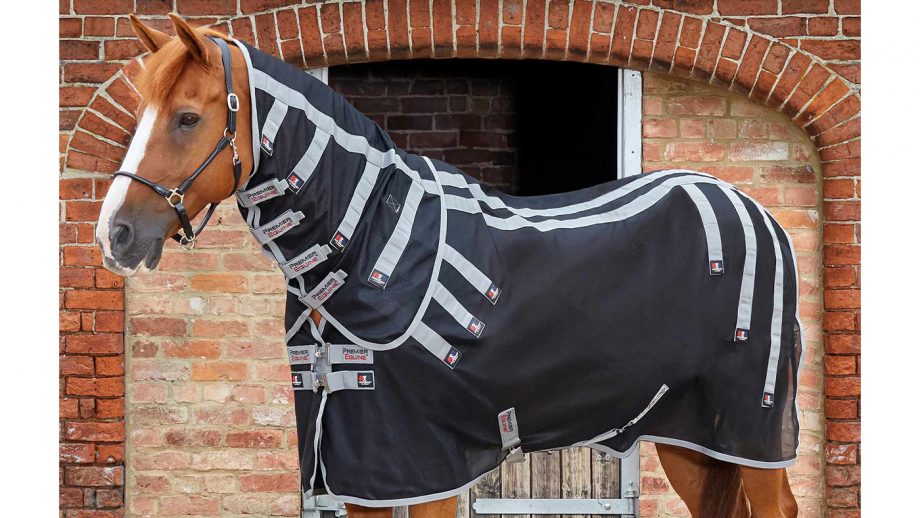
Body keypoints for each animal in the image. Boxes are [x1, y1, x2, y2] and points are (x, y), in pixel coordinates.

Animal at [96, 14, 800, 518]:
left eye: (188, 118)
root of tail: (752, 211)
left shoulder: (420, 462)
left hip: (751, 432)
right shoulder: (355, 468)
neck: (366, 247)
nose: (115, 235)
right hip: (692, 437)